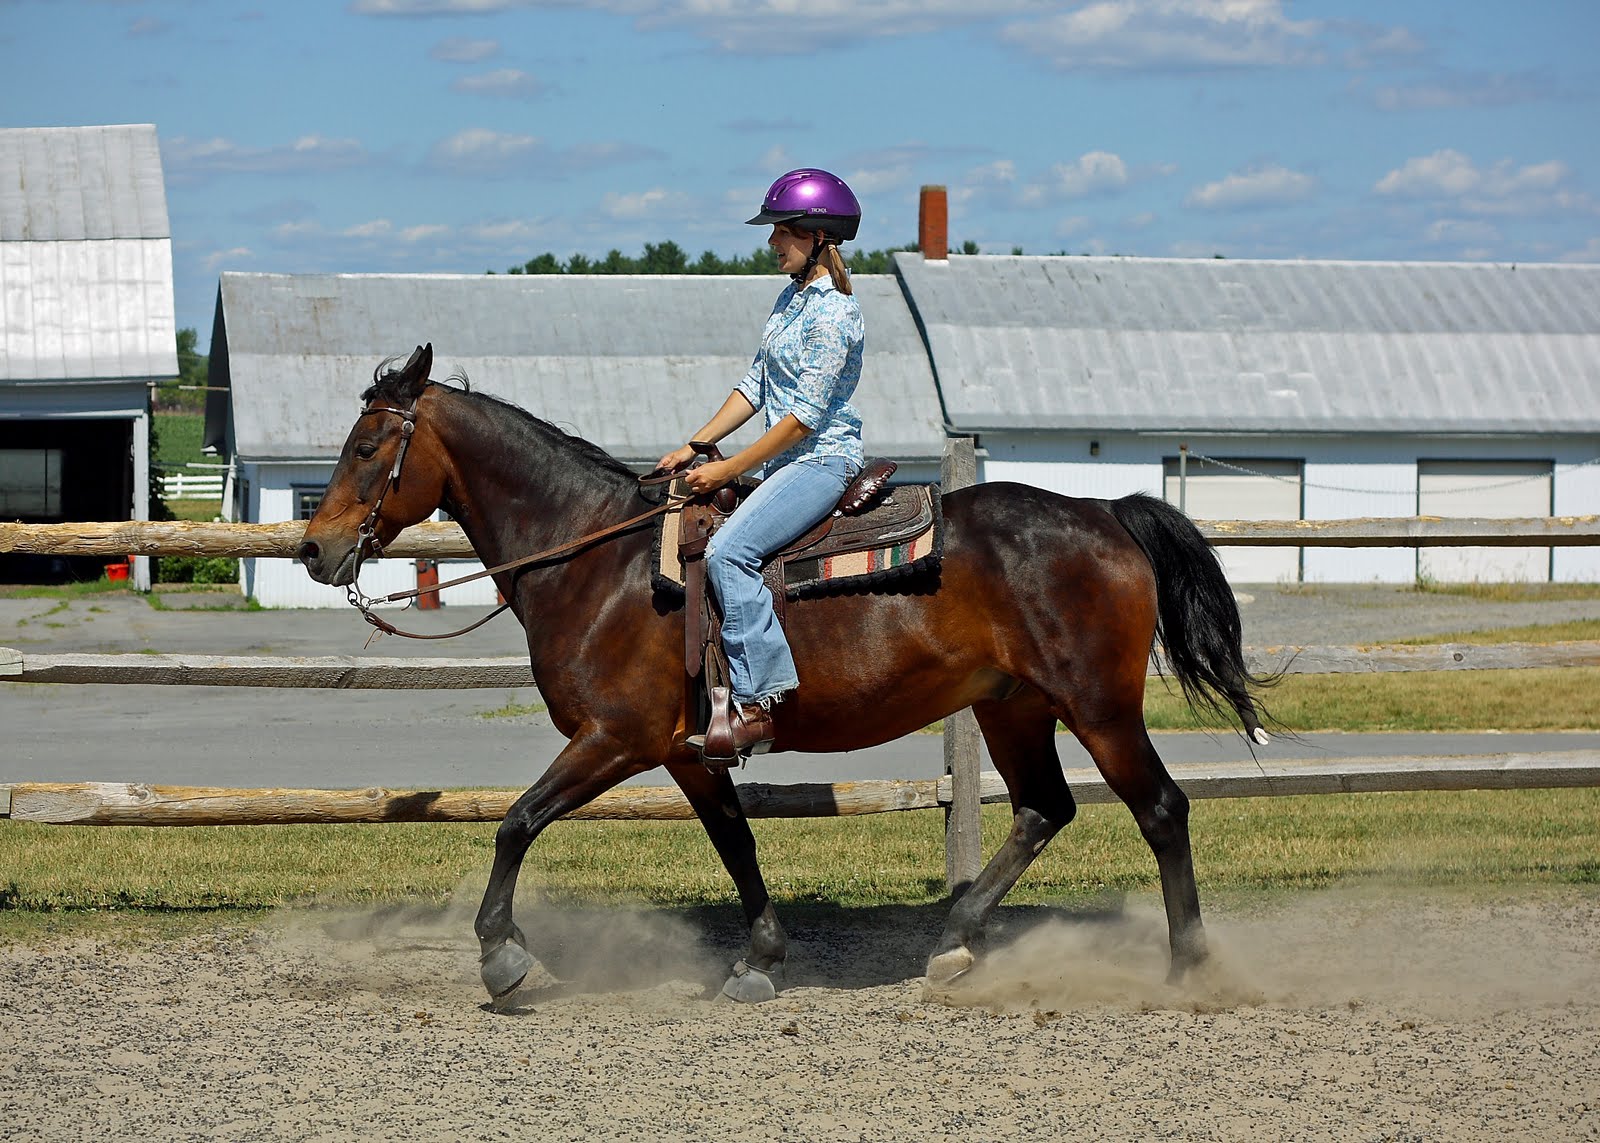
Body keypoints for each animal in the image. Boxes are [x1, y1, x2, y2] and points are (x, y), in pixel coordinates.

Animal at [297, 344, 1273, 1006]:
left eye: (368, 445)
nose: (314, 547)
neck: (599, 563)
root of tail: (1104, 510)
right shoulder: (685, 750)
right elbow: (736, 843)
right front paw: (760, 957)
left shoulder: (616, 737)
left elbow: (516, 822)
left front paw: (501, 955)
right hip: (1014, 708)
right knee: (1043, 808)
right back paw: (956, 942)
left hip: (1100, 706)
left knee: (1161, 809)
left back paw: (1189, 965)